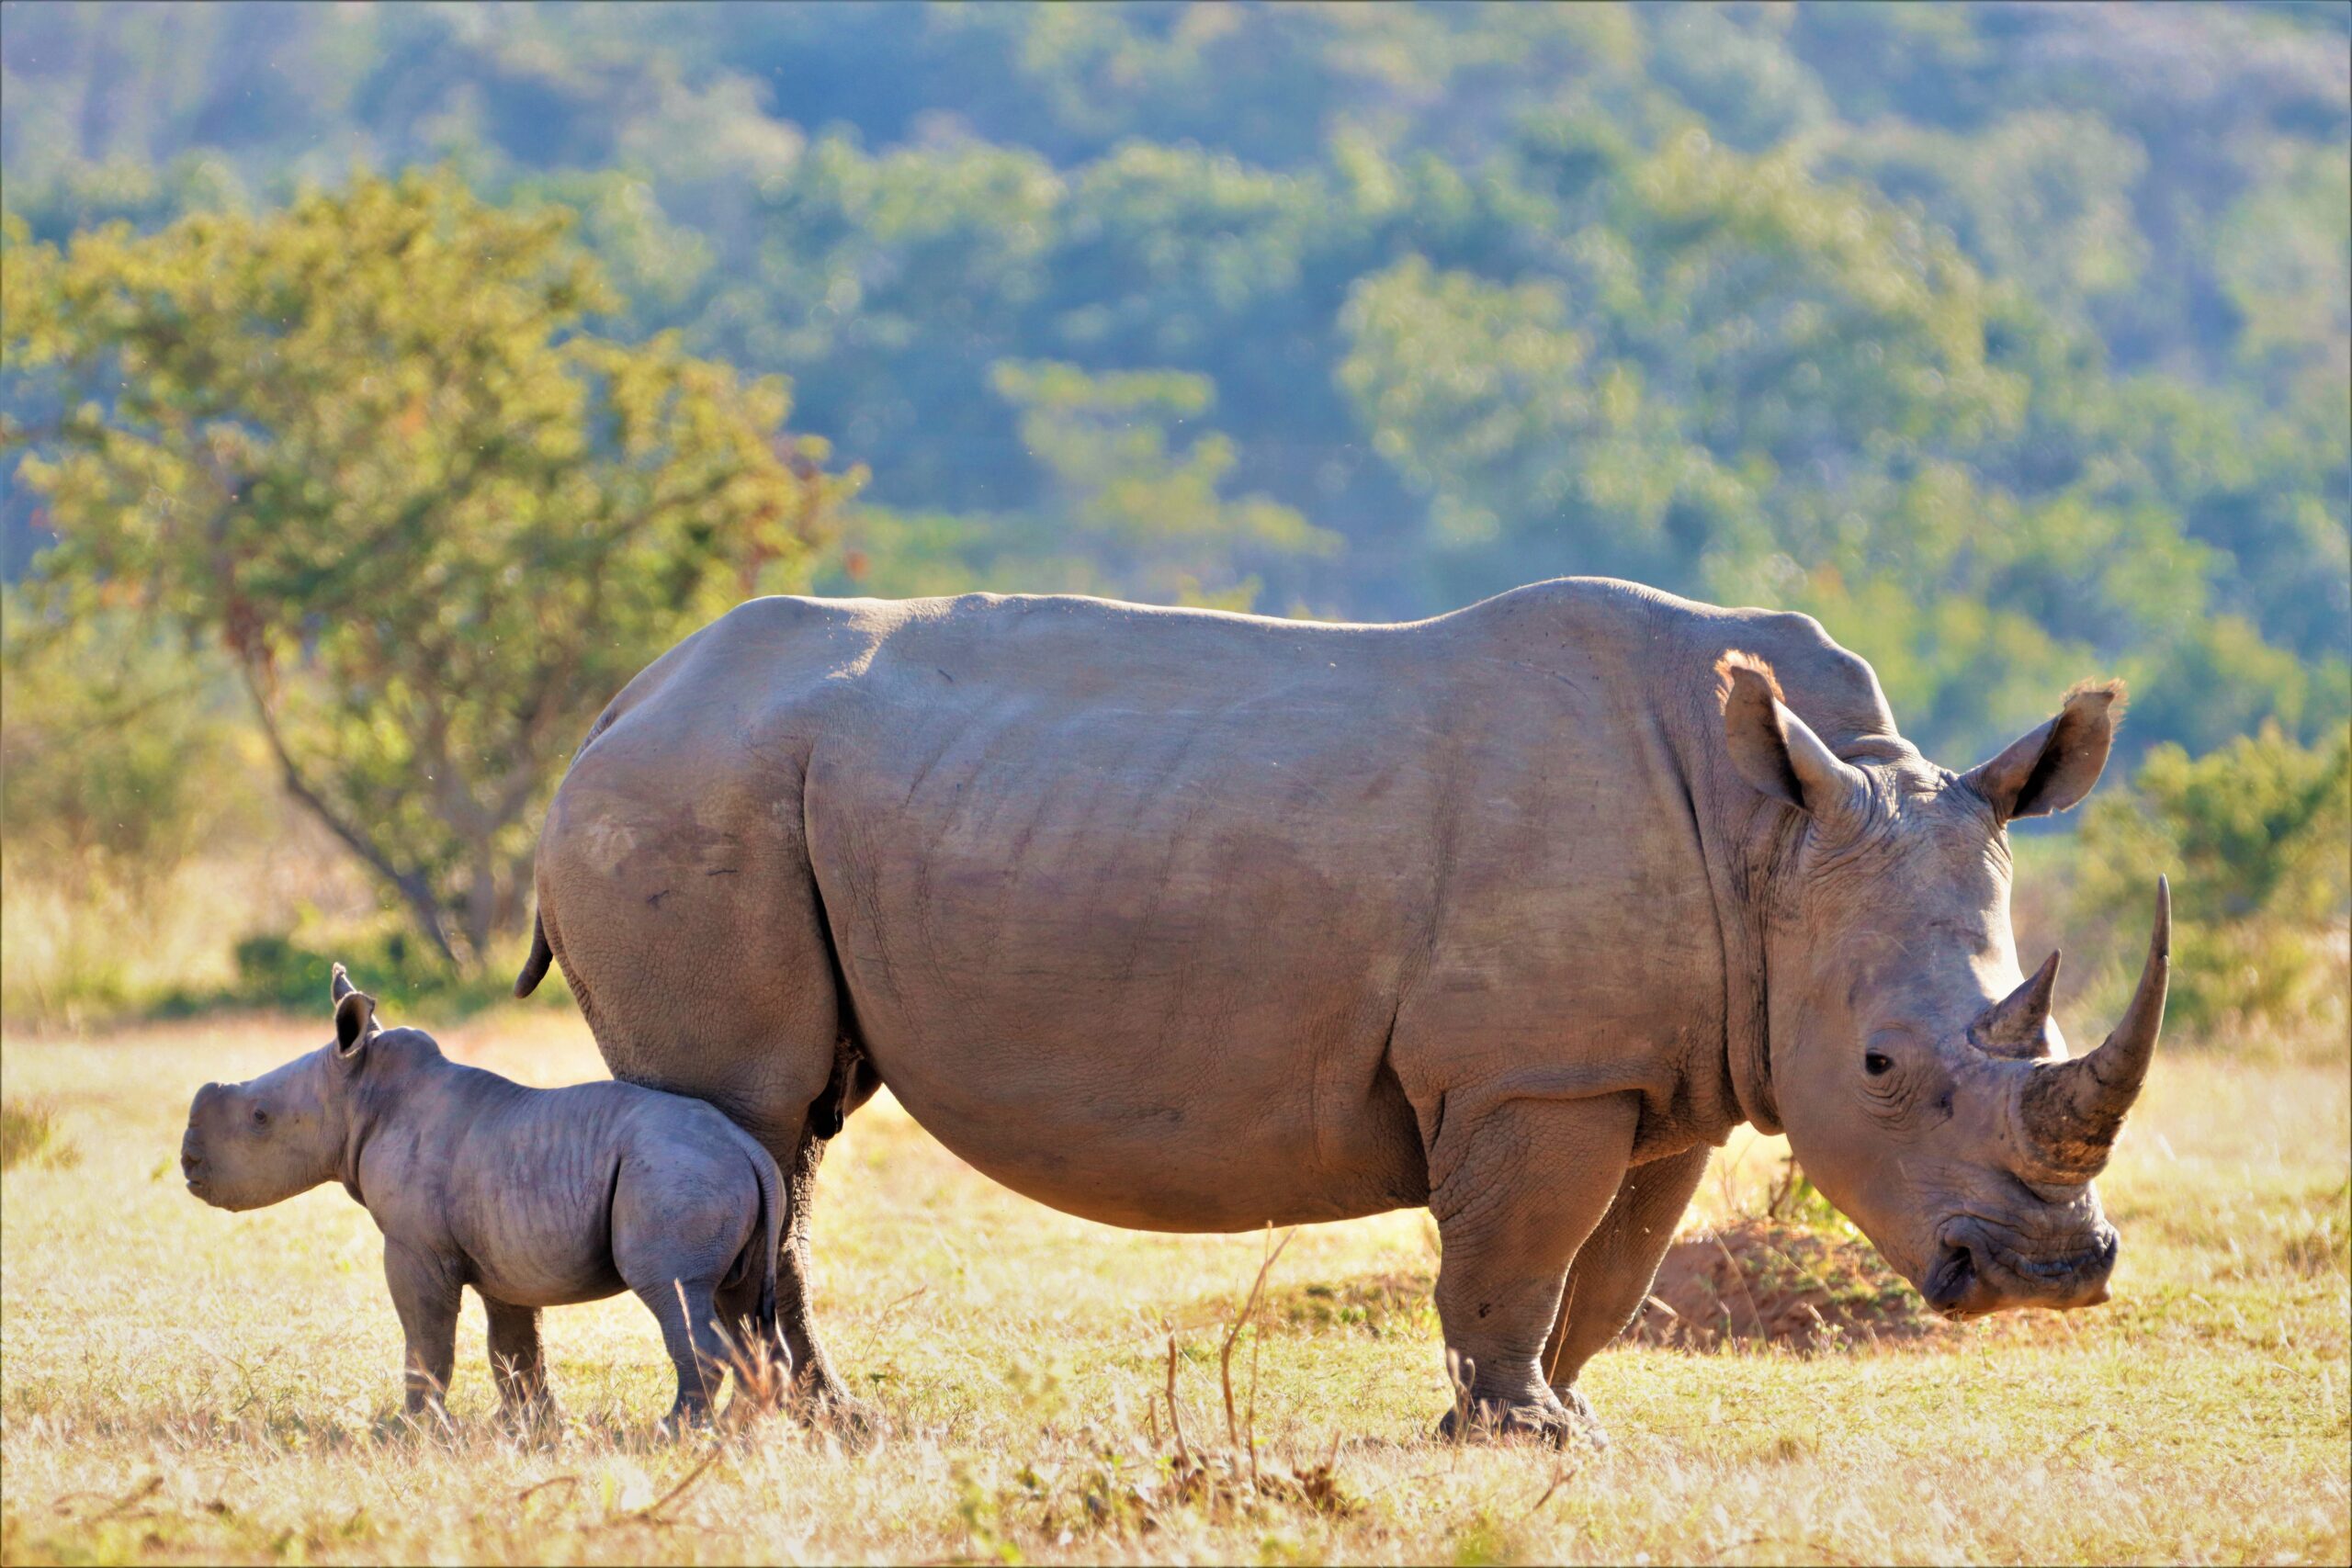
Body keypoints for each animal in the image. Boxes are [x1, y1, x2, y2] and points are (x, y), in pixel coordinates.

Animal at [512, 577, 2169, 1442]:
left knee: (790, 1135)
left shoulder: (1663, 1066)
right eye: (1882, 1063)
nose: (2050, 1277)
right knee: (750, 1119)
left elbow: (1611, 1271)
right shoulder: (1535, 1071)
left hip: (737, 790)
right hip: (690, 793)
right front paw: (1510, 1435)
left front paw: (1564, 1425)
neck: (1776, 837)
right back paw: (775, 1422)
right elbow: (1517, 1258)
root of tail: (622, 699)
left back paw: (819, 1419)